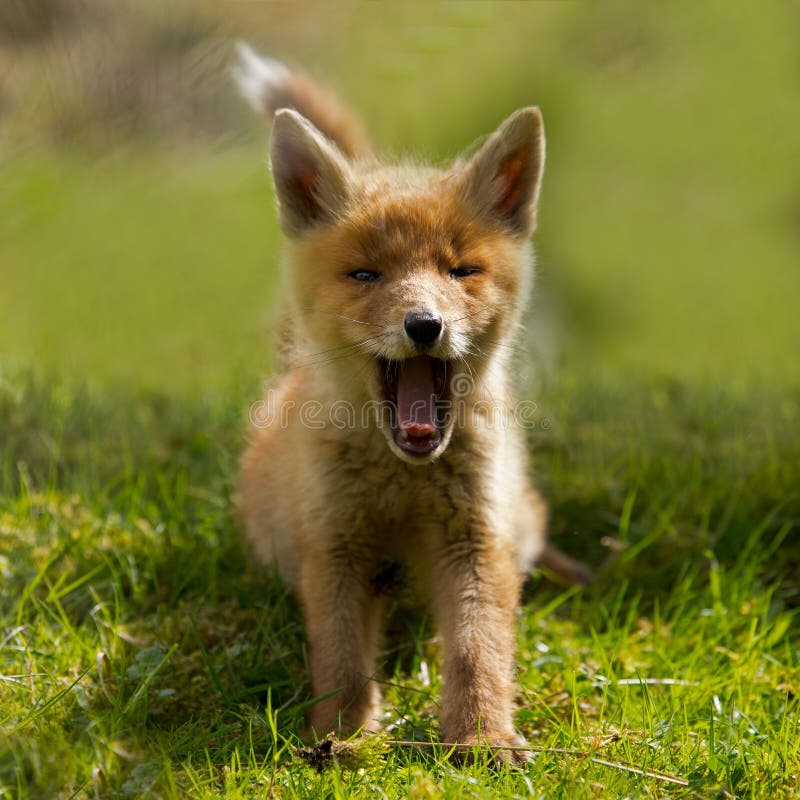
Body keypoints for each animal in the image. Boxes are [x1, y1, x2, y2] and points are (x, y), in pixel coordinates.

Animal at [234, 43, 590, 763]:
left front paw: (482, 738)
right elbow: (341, 658)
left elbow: (480, 649)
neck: (405, 482)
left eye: (461, 271)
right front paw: (341, 738)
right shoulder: (335, 547)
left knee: (533, 534)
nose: (424, 325)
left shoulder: (473, 541)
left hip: (512, 518)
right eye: (366, 274)